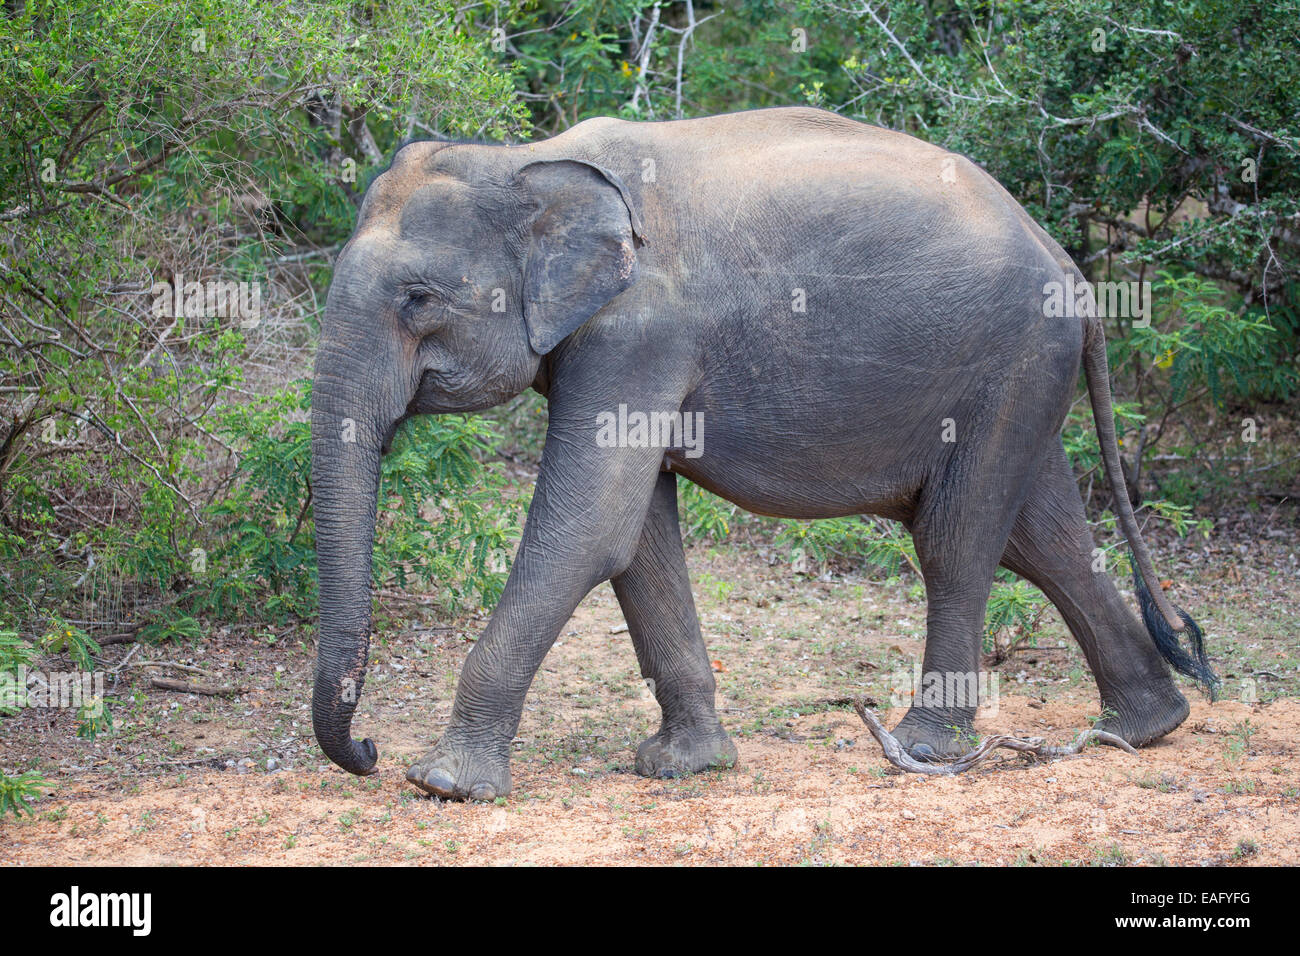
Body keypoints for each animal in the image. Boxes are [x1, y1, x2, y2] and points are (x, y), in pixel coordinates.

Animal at [309, 106, 1216, 800]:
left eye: (418, 298)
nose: (371, 753)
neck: (523, 159)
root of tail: (1068, 262)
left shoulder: (639, 335)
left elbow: (588, 531)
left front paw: (445, 785)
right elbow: (636, 537)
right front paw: (685, 766)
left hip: (1012, 361)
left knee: (956, 542)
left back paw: (927, 749)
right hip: (1024, 375)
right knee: (1045, 538)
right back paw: (1148, 726)